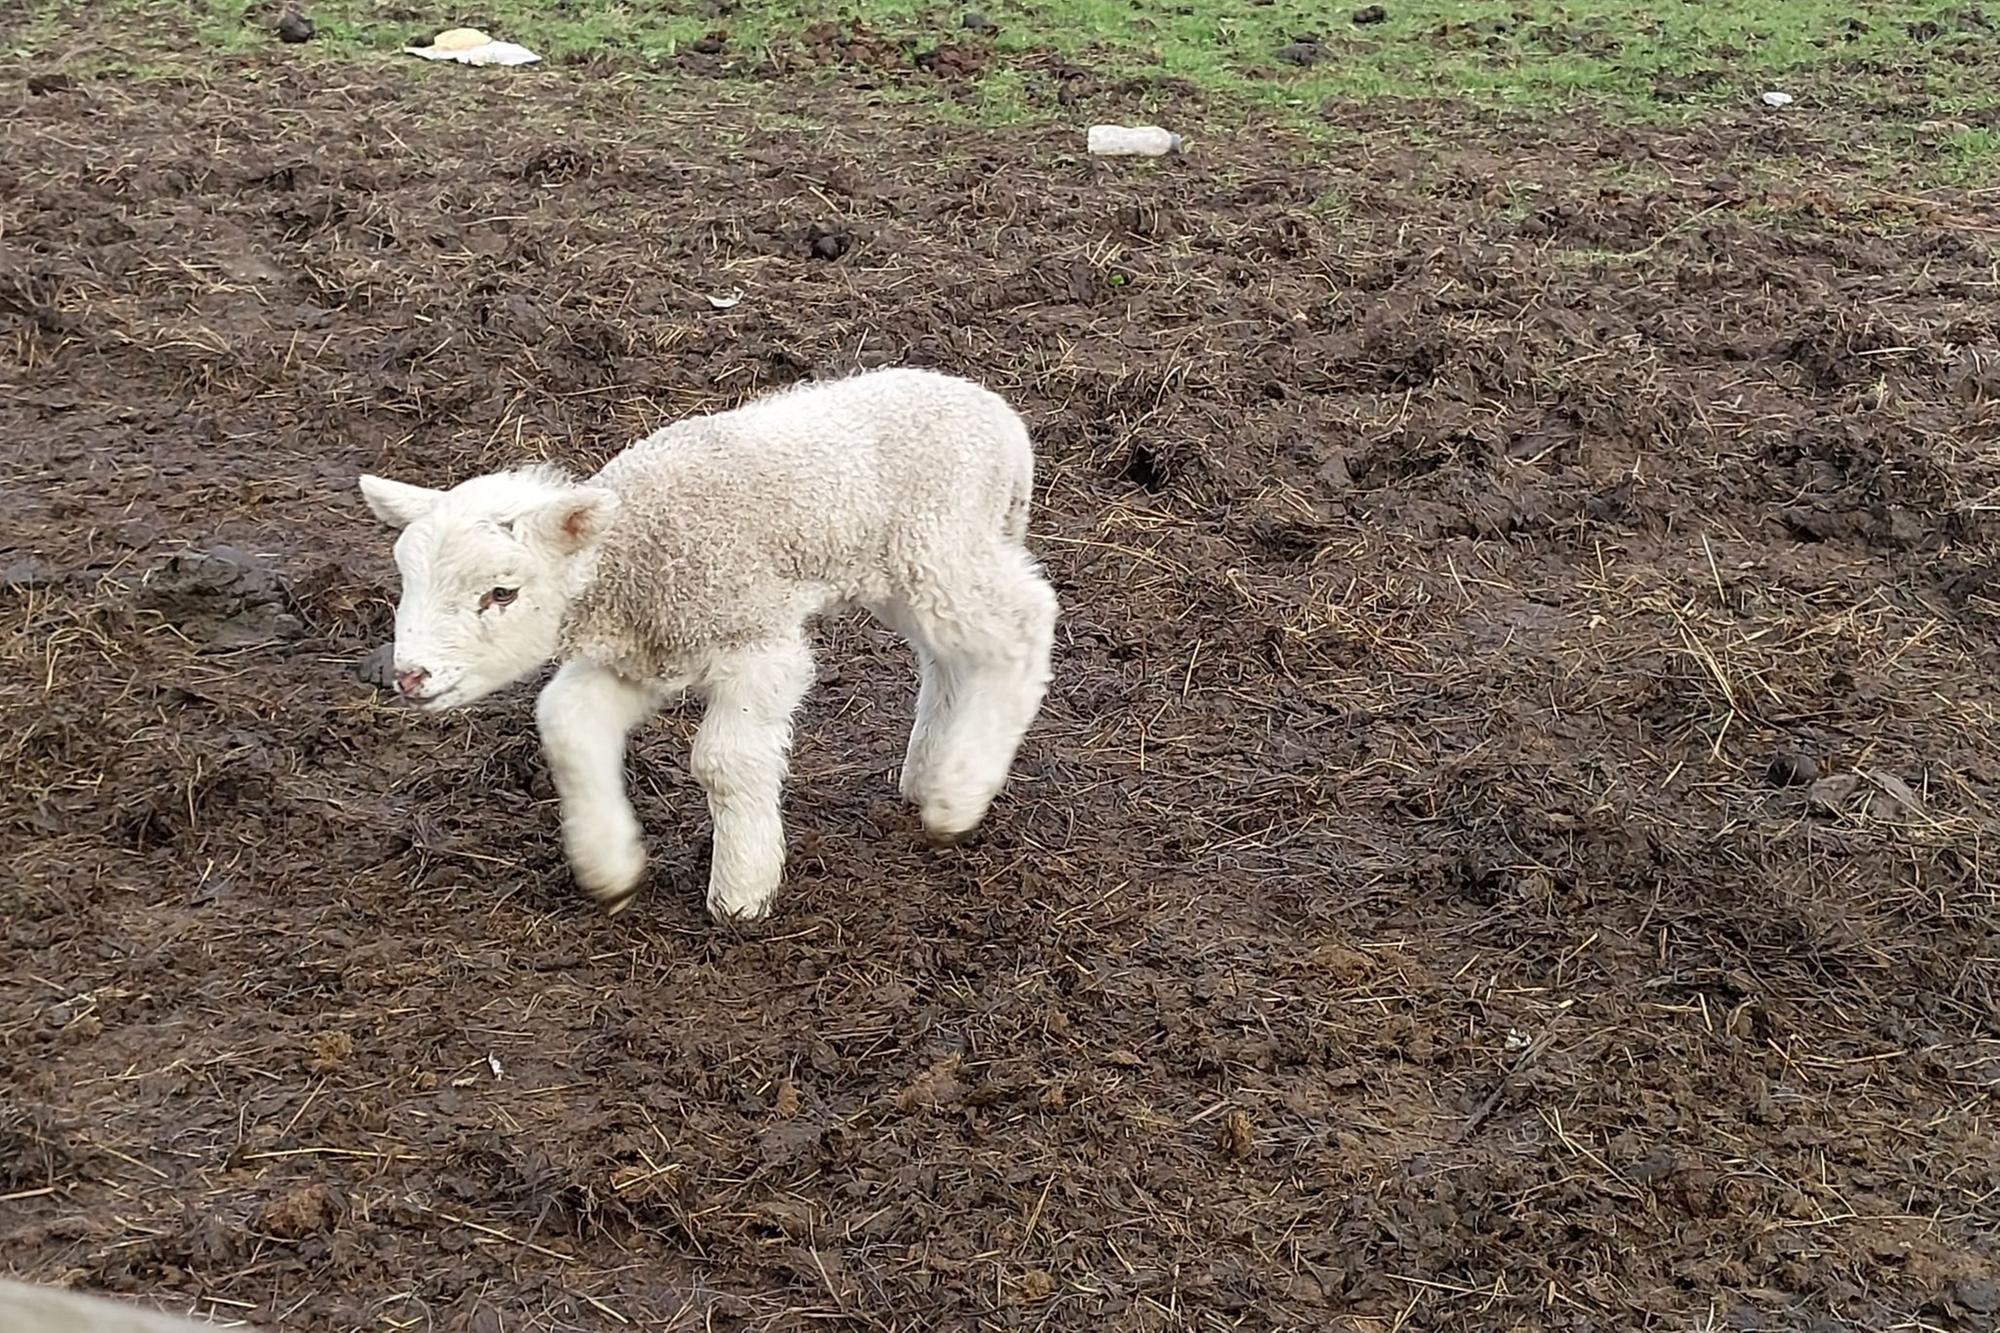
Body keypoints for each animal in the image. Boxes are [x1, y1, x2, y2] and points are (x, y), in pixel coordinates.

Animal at [358, 367, 1058, 922]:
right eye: (407, 578)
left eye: (502, 593)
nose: (410, 676)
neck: (632, 557)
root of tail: (1001, 419)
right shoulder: (640, 659)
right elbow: (566, 724)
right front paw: (610, 869)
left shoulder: (759, 643)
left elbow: (724, 759)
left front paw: (742, 892)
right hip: (902, 569)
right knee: (952, 655)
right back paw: (929, 770)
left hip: (940, 542)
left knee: (1024, 624)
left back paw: (957, 797)